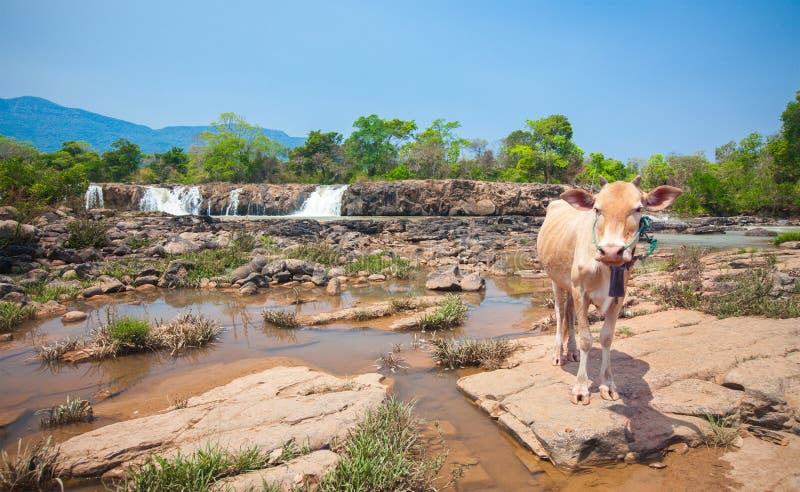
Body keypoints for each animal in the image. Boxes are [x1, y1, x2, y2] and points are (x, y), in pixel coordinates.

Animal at [536, 176, 682, 405]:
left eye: (638, 208)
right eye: (597, 209)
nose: (611, 251)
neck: (605, 268)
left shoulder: (618, 296)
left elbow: (606, 337)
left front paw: (608, 385)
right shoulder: (580, 290)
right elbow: (587, 339)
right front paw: (581, 388)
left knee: (569, 314)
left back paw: (572, 352)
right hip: (556, 280)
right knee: (560, 315)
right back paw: (559, 354)